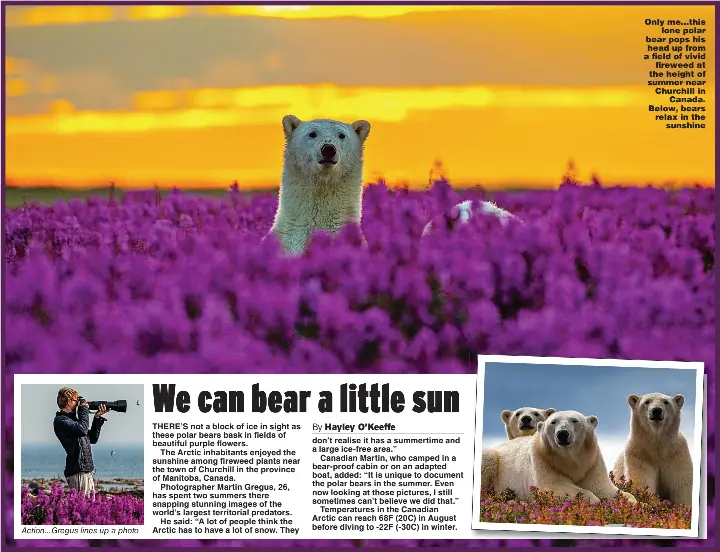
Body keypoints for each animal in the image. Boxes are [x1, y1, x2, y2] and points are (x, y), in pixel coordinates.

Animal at [480, 410, 637, 504]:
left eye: (574, 420)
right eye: (553, 422)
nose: (562, 434)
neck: (568, 460)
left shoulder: (592, 463)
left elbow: (603, 487)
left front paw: (634, 502)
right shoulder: (543, 461)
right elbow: (554, 486)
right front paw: (594, 501)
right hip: (493, 459)